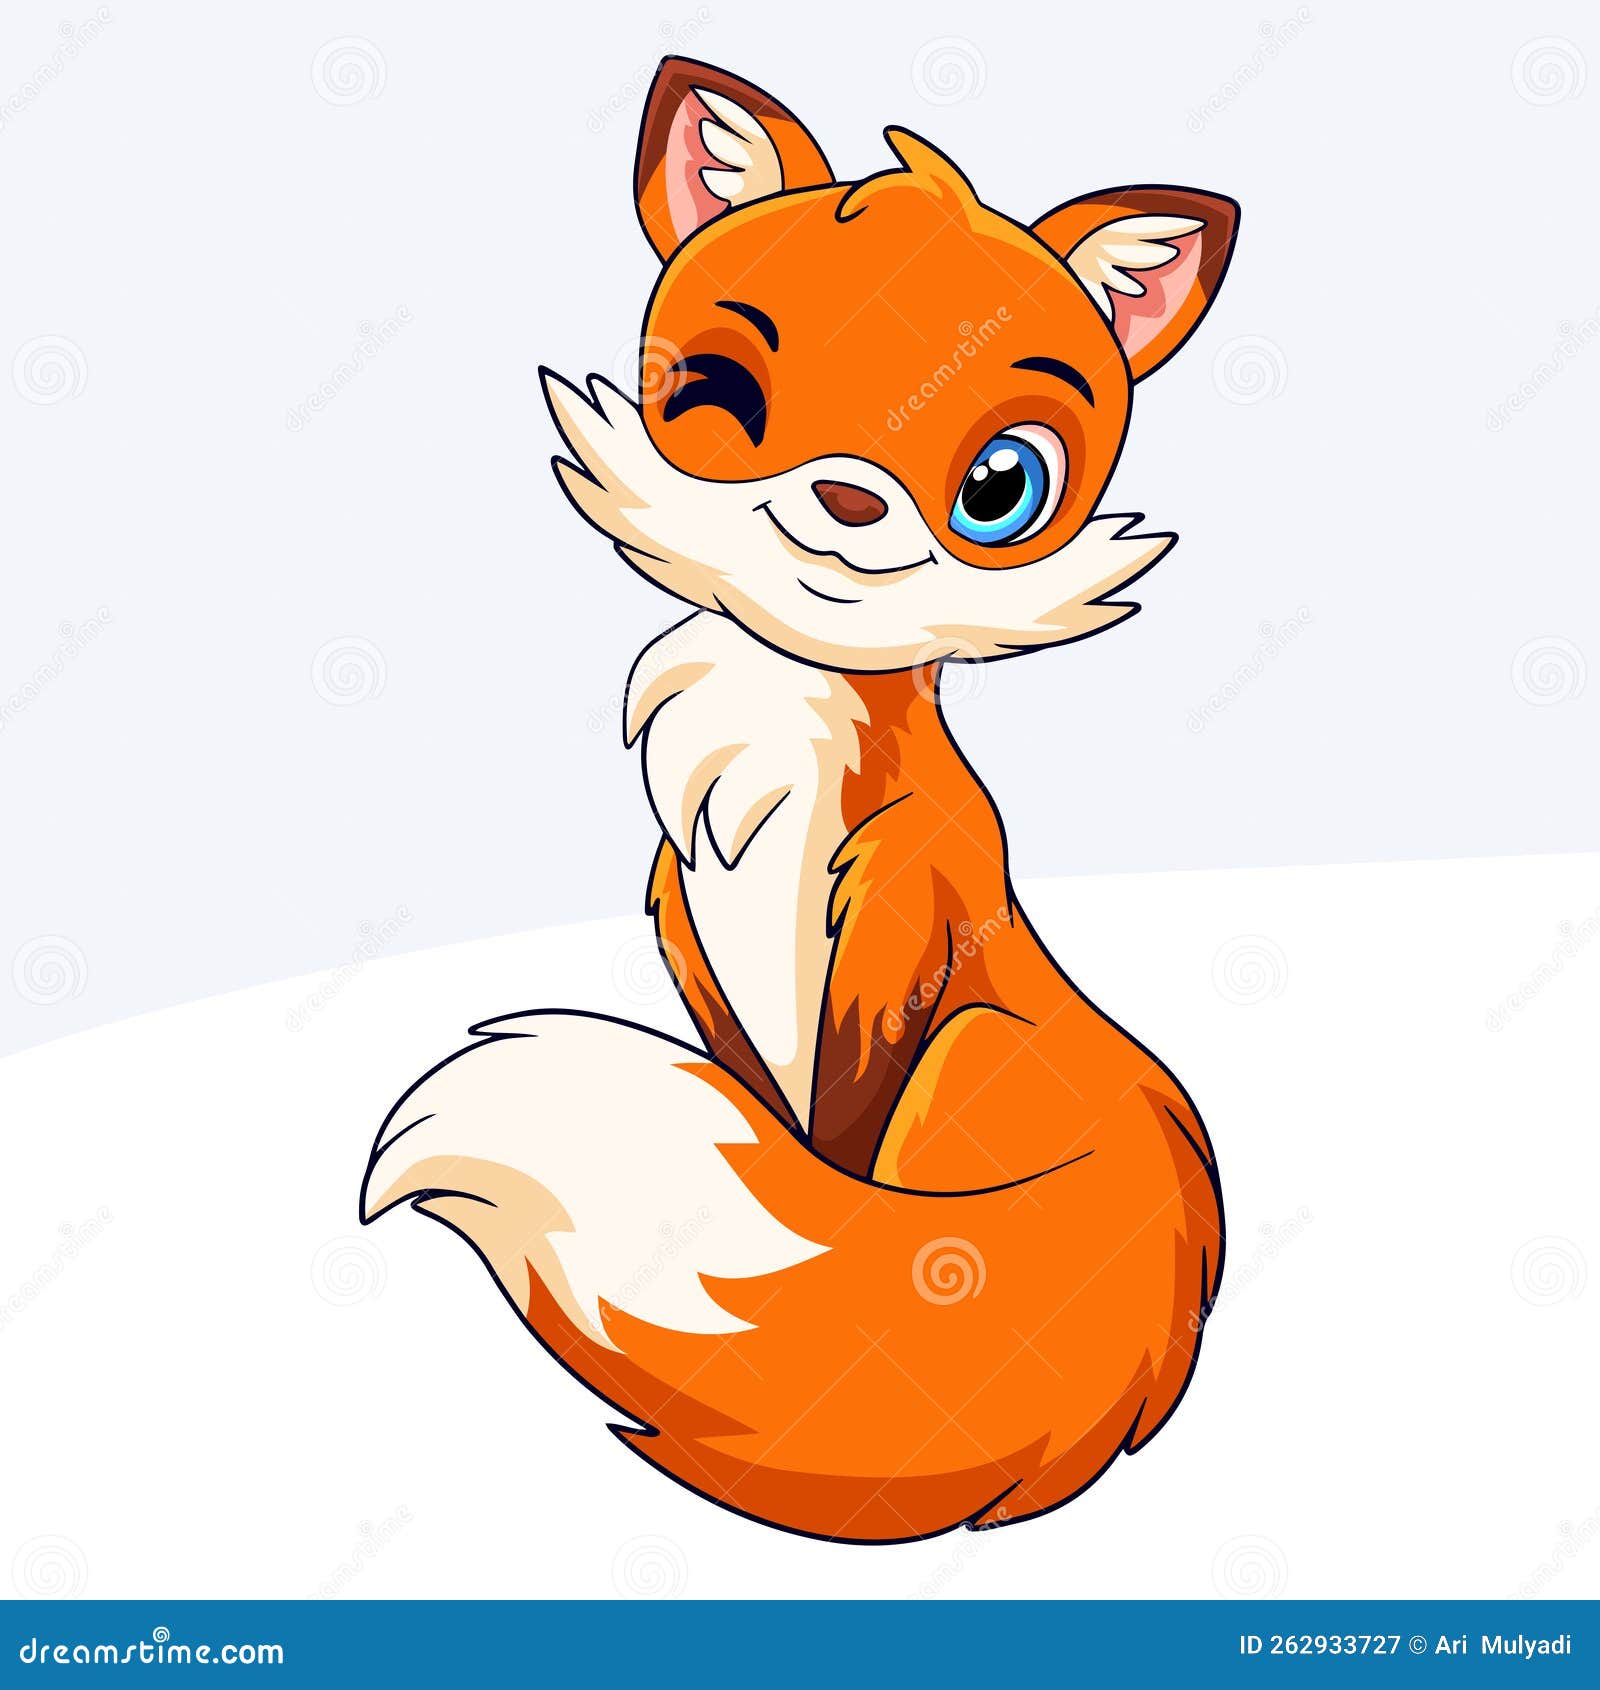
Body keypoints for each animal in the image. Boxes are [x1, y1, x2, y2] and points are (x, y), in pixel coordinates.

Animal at [361, 56, 1237, 1543]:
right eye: (715, 396)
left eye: (1001, 485)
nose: (849, 499)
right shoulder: (685, 914)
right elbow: (768, 1105)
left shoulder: (903, 911)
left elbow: (836, 1139)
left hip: (979, 1045)